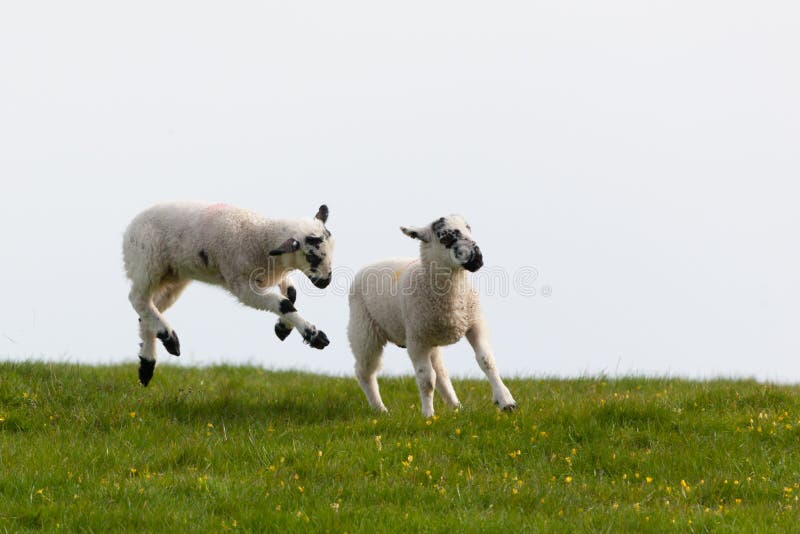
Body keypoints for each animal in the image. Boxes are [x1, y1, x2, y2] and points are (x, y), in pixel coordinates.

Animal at [123, 201, 334, 386]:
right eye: (312, 257)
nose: (326, 282)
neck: (262, 238)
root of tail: (129, 229)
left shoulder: (271, 276)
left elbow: (291, 294)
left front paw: (282, 328)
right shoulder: (242, 286)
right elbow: (283, 303)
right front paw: (315, 336)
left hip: (173, 277)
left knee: (148, 309)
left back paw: (147, 364)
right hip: (147, 263)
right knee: (137, 299)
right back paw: (169, 339)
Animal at [348, 215, 517, 417]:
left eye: (469, 228)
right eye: (445, 236)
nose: (477, 259)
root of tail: (371, 264)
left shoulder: (475, 324)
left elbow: (487, 361)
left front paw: (506, 401)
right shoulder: (416, 341)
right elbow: (426, 379)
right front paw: (428, 415)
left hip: (431, 339)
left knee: (441, 372)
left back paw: (456, 406)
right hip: (364, 331)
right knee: (365, 372)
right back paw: (380, 410)